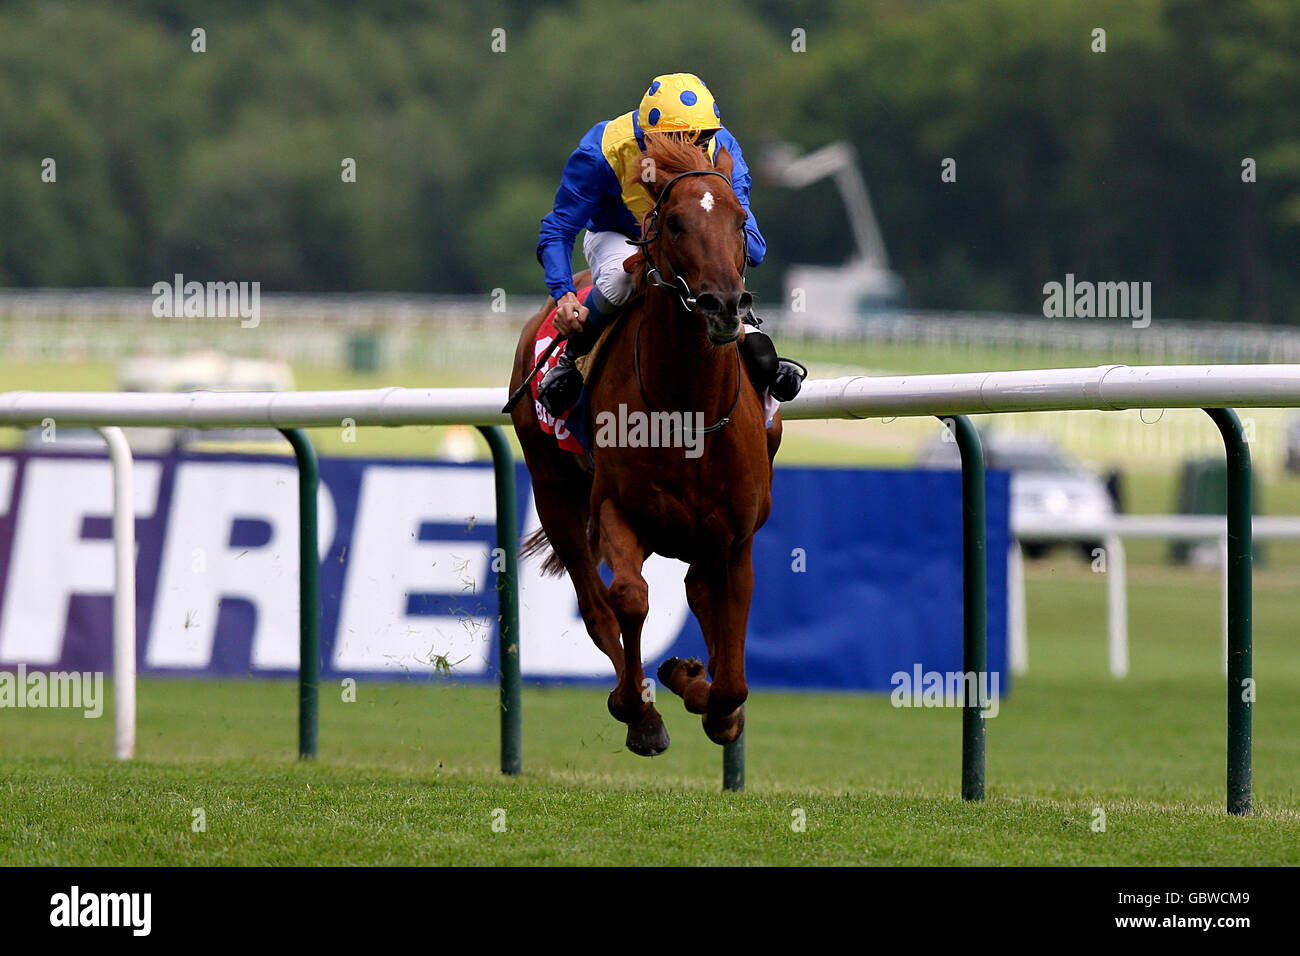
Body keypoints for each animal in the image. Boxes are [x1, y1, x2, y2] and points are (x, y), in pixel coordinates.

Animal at [509, 133, 781, 756]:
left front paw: (703, 692)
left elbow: (733, 673)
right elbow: (628, 598)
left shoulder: (737, 534)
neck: (687, 409)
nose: (724, 306)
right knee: (596, 604)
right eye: (675, 223)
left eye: (740, 222)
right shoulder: (615, 508)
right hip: (553, 491)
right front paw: (638, 709)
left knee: (700, 591)